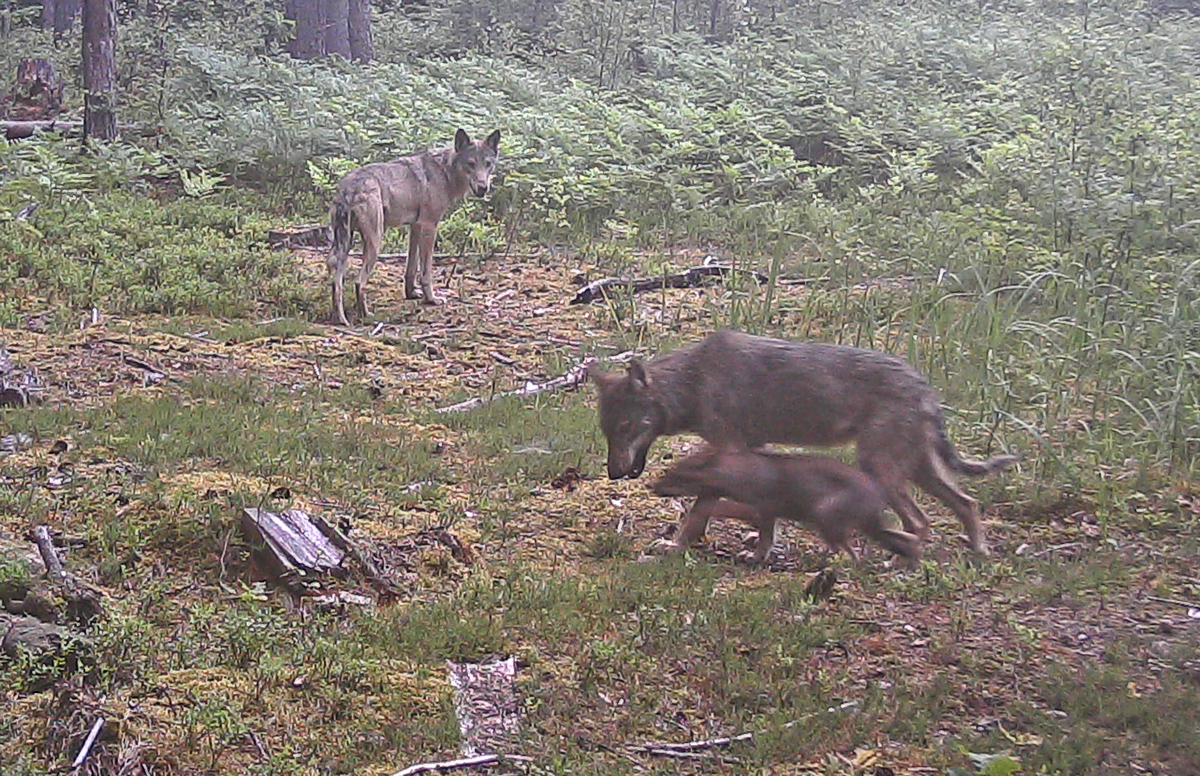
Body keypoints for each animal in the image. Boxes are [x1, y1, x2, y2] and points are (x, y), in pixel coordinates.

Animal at [326, 128, 501, 325]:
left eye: (488, 164)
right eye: (470, 164)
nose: (483, 187)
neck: (444, 172)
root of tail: (348, 189)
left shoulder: (415, 226)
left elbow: (411, 267)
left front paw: (411, 294)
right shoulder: (430, 226)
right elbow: (426, 272)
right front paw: (431, 299)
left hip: (344, 246)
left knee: (336, 283)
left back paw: (341, 319)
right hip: (375, 242)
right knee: (358, 282)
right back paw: (367, 316)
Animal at [652, 445, 922, 563]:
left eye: (675, 475)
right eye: (667, 472)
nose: (653, 487)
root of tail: (875, 496)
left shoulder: (761, 506)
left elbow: (727, 511)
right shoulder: (769, 514)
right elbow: (767, 539)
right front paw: (756, 555)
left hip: (824, 516)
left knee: (852, 553)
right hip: (860, 525)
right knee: (902, 540)